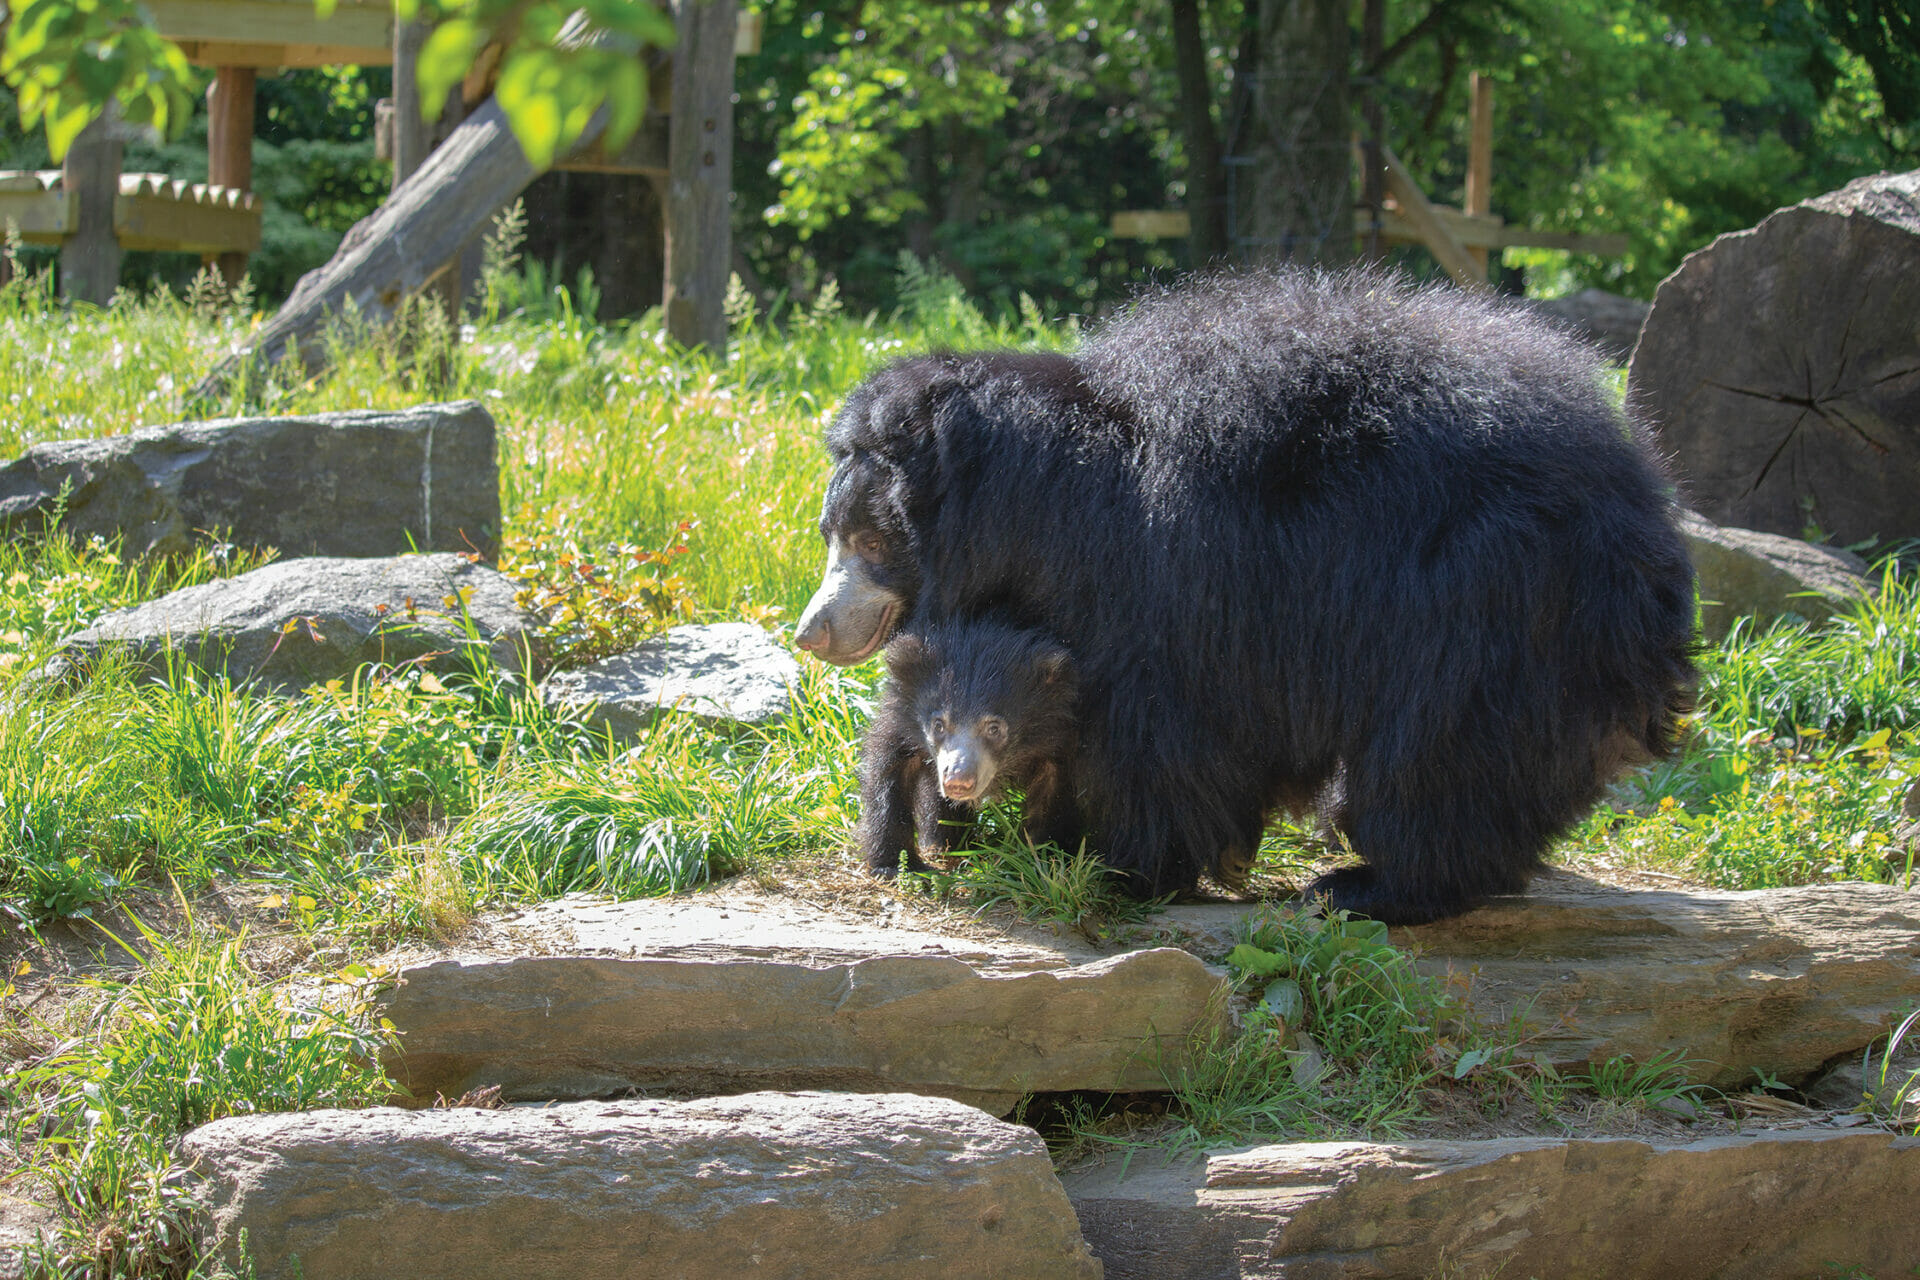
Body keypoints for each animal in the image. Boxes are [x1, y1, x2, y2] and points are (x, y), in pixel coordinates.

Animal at [856, 617, 1082, 875]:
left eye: (994, 728)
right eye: (938, 725)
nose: (957, 780)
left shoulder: (1057, 737)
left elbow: (1052, 792)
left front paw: (1041, 859)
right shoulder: (902, 719)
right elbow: (889, 770)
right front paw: (897, 866)